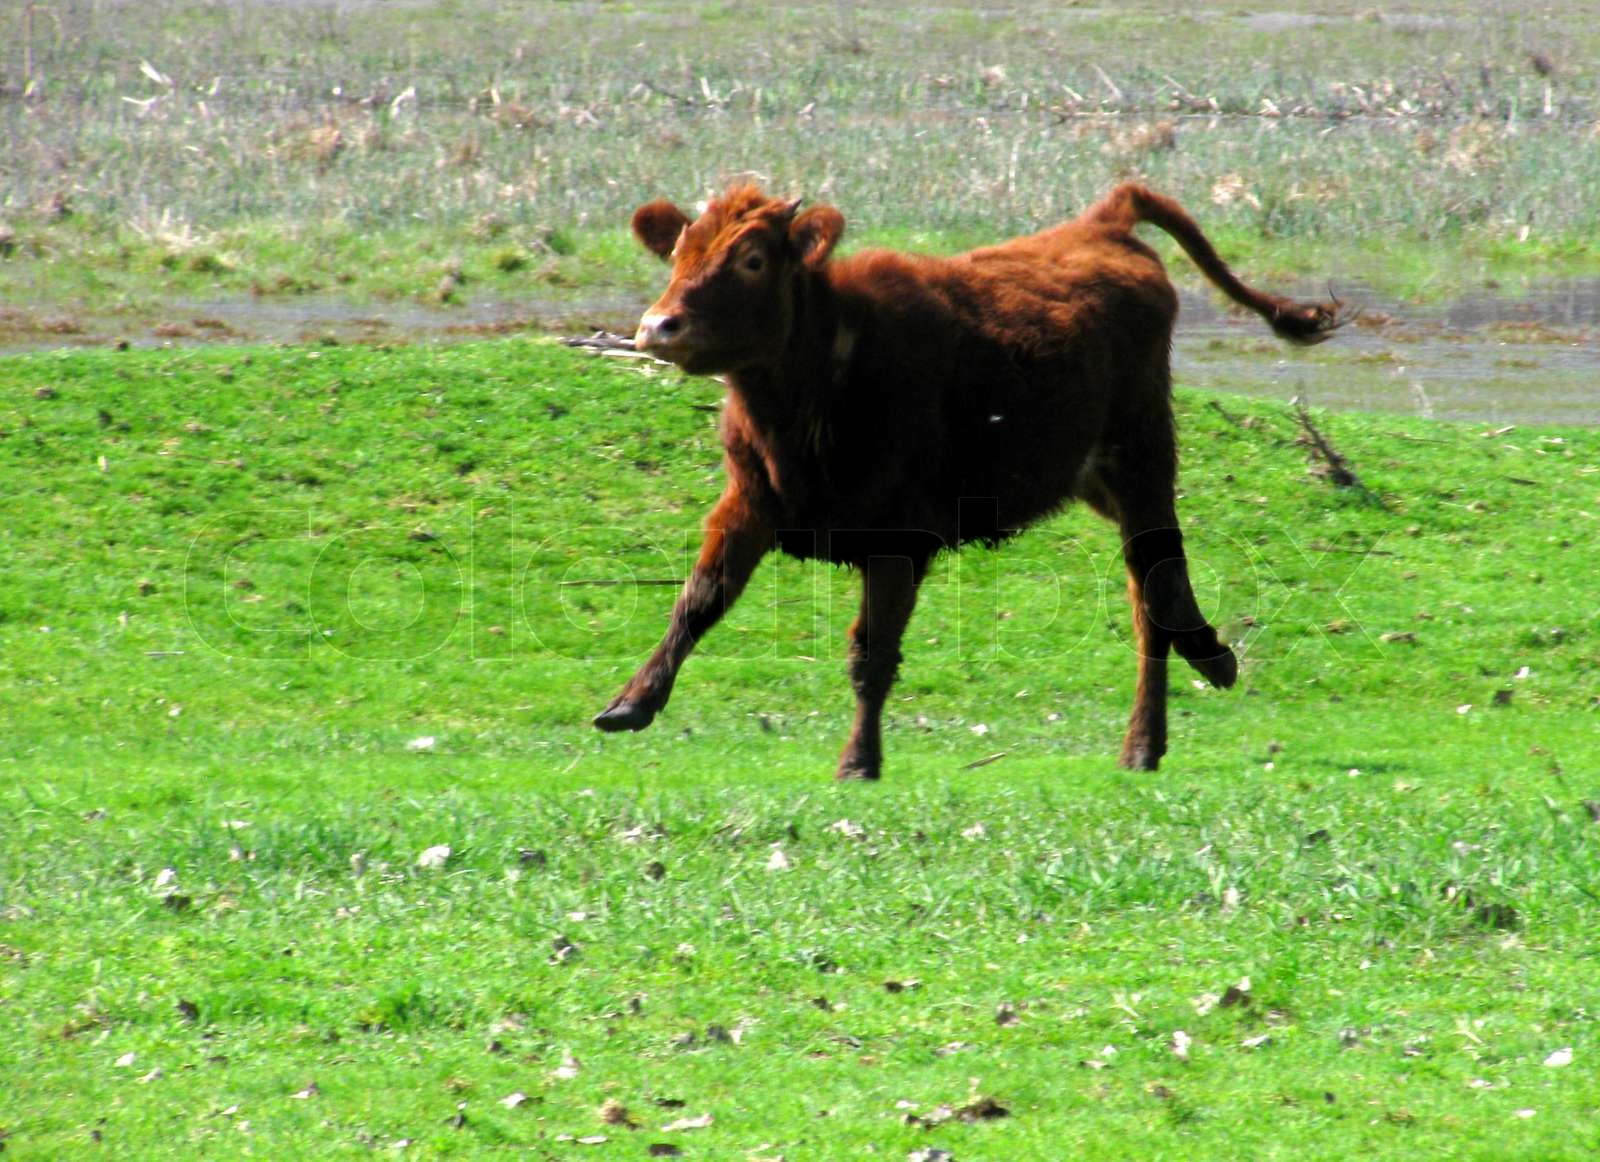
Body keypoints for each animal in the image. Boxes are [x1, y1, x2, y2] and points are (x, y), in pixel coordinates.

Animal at [593, 182, 1342, 777]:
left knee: (1149, 594)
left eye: (751, 259)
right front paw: (631, 703)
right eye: (679, 254)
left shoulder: (899, 540)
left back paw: (1144, 743)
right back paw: (1208, 656)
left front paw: (859, 761)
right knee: (1164, 585)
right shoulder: (749, 507)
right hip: (1093, 475)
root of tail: (1100, 224)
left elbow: (871, 654)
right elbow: (697, 602)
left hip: (1142, 460)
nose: (658, 326)